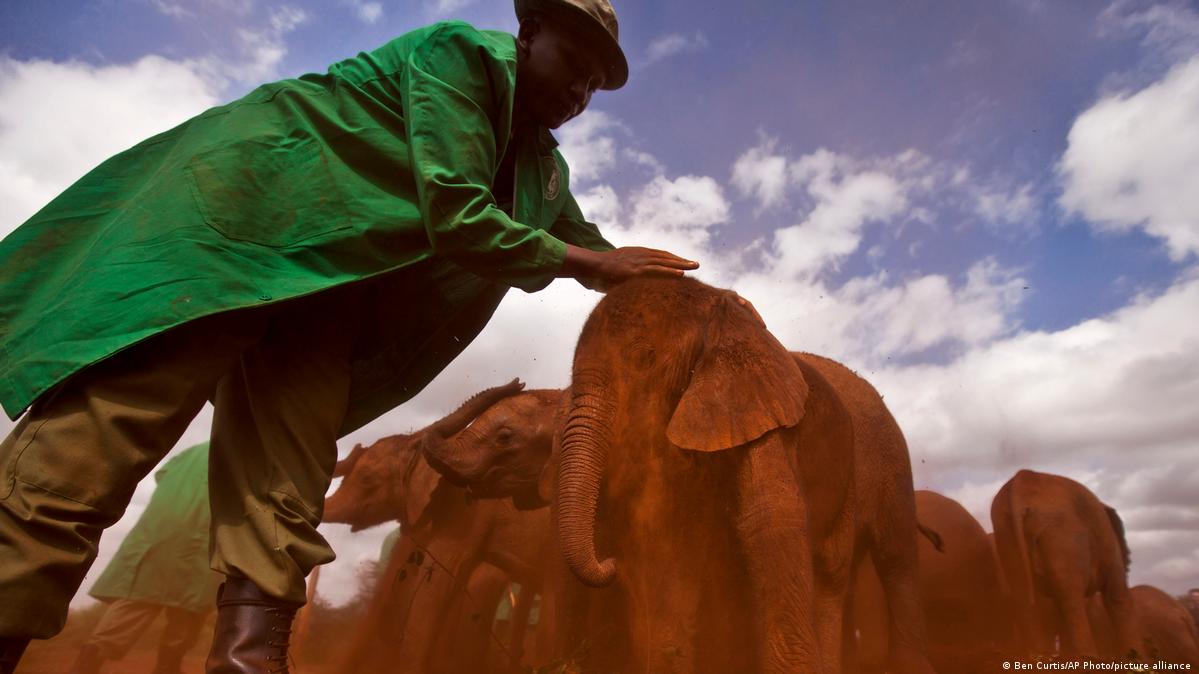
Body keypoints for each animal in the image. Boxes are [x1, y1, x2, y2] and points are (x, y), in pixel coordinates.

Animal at [424, 277, 936, 674]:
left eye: (645, 358)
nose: (609, 562)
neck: (718, 305)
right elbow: (677, 551)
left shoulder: (760, 415)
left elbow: (768, 523)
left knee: (867, 567)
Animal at [991, 468, 1140, 659]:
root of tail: (1021, 481)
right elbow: (1118, 599)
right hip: (1064, 535)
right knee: (1072, 601)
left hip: (1007, 532)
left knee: (1025, 598)